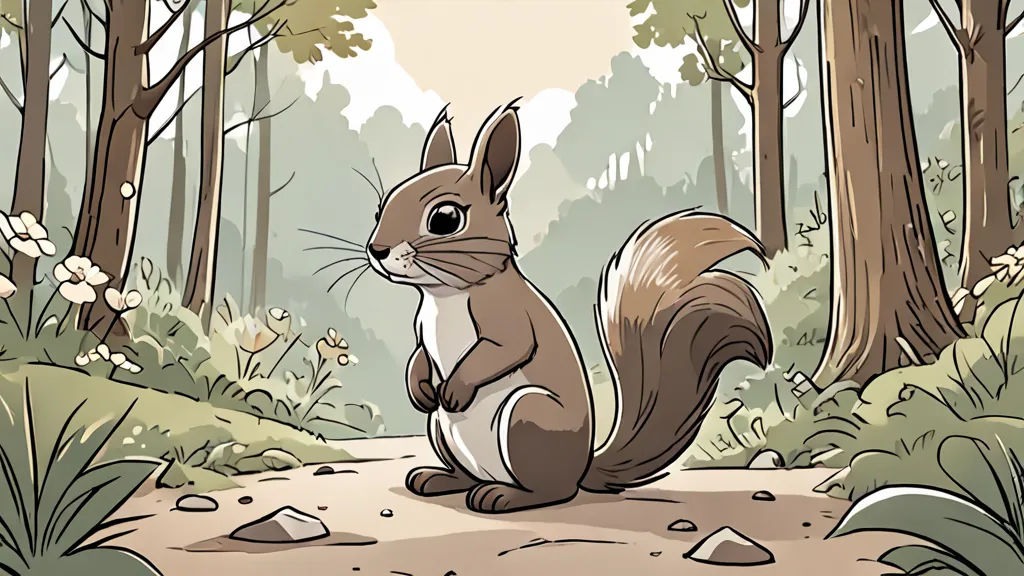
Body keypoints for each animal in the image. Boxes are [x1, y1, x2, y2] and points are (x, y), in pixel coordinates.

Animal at [365, 101, 772, 514]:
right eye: (380, 209)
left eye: (445, 218)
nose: (377, 250)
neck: (444, 297)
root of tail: (583, 466)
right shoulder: (422, 330)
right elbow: (419, 355)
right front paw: (419, 388)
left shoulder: (508, 315)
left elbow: (504, 349)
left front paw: (455, 388)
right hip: (442, 427)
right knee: (471, 473)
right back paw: (438, 478)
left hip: (527, 418)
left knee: (554, 489)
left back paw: (502, 495)